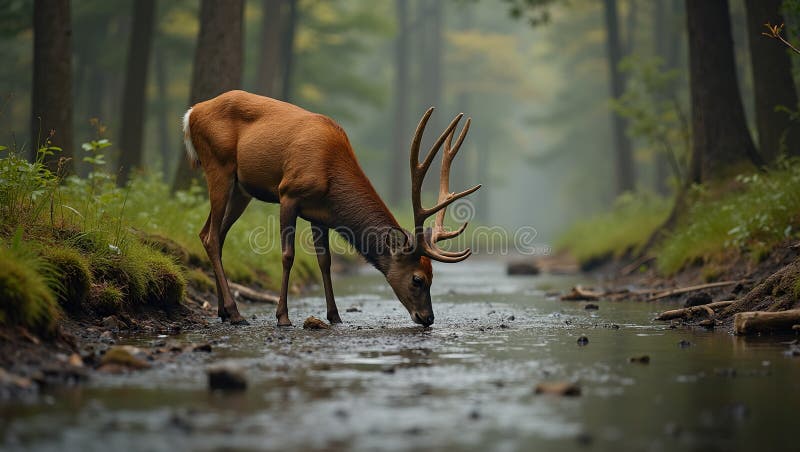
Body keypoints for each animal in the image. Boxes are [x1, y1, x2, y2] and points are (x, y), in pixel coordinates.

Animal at [182, 90, 480, 327]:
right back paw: (235, 313)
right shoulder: (288, 192)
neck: (330, 174)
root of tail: (191, 114)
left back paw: (223, 311)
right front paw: (283, 317)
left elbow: (324, 261)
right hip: (218, 165)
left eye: (433, 276)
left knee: (212, 234)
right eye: (418, 279)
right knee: (211, 236)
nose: (427, 318)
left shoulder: (320, 215)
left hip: (241, 189)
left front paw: (334, 315)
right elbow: (288, 255)